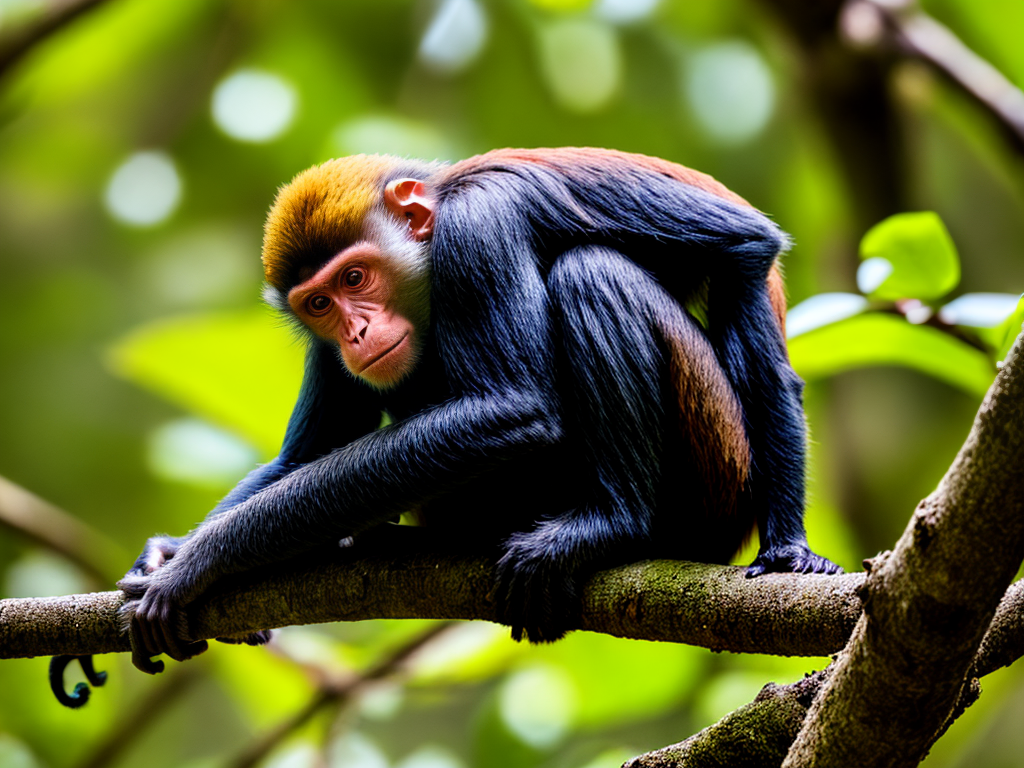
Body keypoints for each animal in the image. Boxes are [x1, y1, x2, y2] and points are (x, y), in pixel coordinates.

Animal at [102, 147, 841, 680]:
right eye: (319, 305)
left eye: (355, 278)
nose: (356, 333)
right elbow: (300, 458)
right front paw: (170, 552)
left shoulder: (479, 226)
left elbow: (515, 410)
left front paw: (198, 561)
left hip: (715, 467)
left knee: (595, 271)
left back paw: (614, 525)